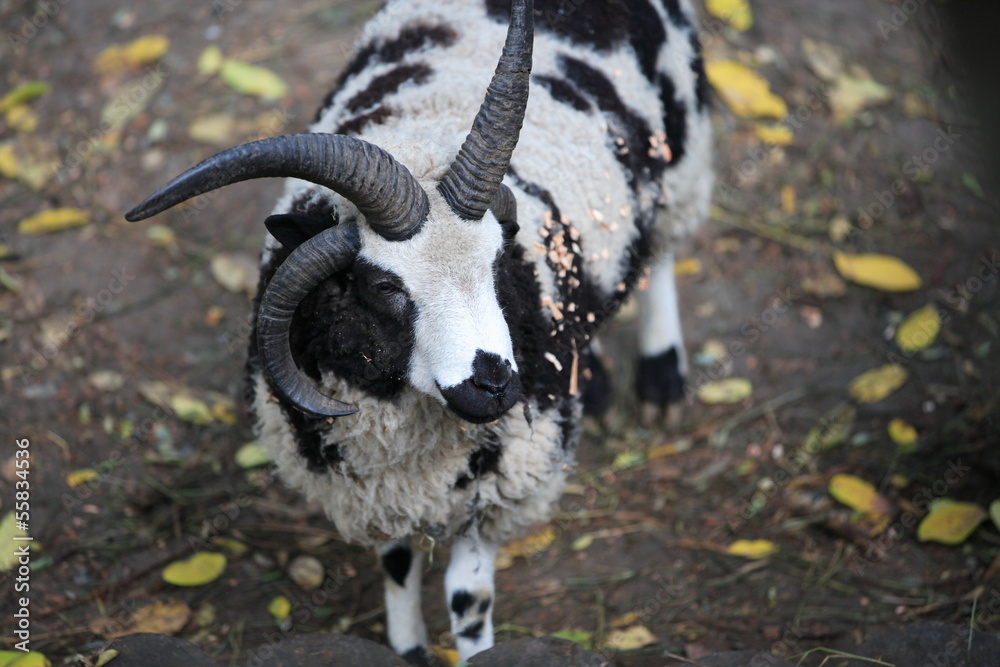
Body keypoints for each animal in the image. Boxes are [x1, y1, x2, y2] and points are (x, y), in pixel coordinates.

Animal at [125, 0, 712, 662]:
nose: (494, 384)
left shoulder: (497, 489)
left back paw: (661, 379)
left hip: (681, 156)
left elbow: (467, 596)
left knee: (663, 250)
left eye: (497, 259)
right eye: (384, 287)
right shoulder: (371, 486)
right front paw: (408, 647)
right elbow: (399, 562)